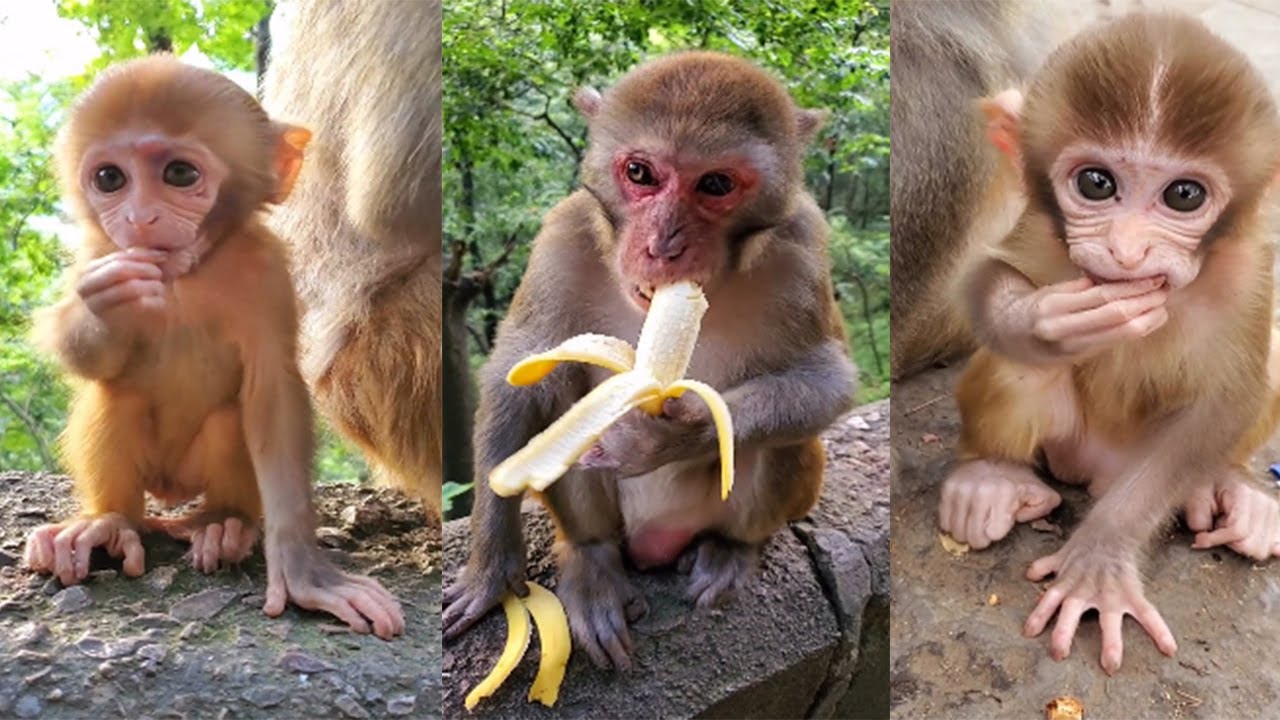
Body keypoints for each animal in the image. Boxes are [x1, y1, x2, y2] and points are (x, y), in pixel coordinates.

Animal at [24, 55, 404, 639]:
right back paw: (107, 524)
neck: (187, 275)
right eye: (110, 179)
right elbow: (92, 359)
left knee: (231, 420)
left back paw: (221, 525)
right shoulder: (96, 250)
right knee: (118, 395)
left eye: (179, 174)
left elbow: (272, 393)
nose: (138, 219)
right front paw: (107, 303)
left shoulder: (265, 269)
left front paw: (304, 570)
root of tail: (172, 494)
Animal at [442, 51, 857, 670]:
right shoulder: (563, 233)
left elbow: (827, 378)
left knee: (784, 440)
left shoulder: (804, 243)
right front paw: (489, 569)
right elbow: (519, 375)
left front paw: (664, 438)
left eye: (715, 184)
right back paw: (593, 565)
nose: (663, 246)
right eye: (640, 174)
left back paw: (730, 551)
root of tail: (655, 544)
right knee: (561, 406)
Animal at [937, 13, 1280, 674]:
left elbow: (1230, 395)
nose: (1126, 250)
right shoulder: (1041, 225)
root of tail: (1099, 470)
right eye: (1096, 184)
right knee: (1023, 372)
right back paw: (991, 476)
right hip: (1067, 446)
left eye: (1184, 195)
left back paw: (1237, 495)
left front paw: (1099, 562)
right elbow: (983, 278)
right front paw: (1039, 320)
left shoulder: (1249, 269)